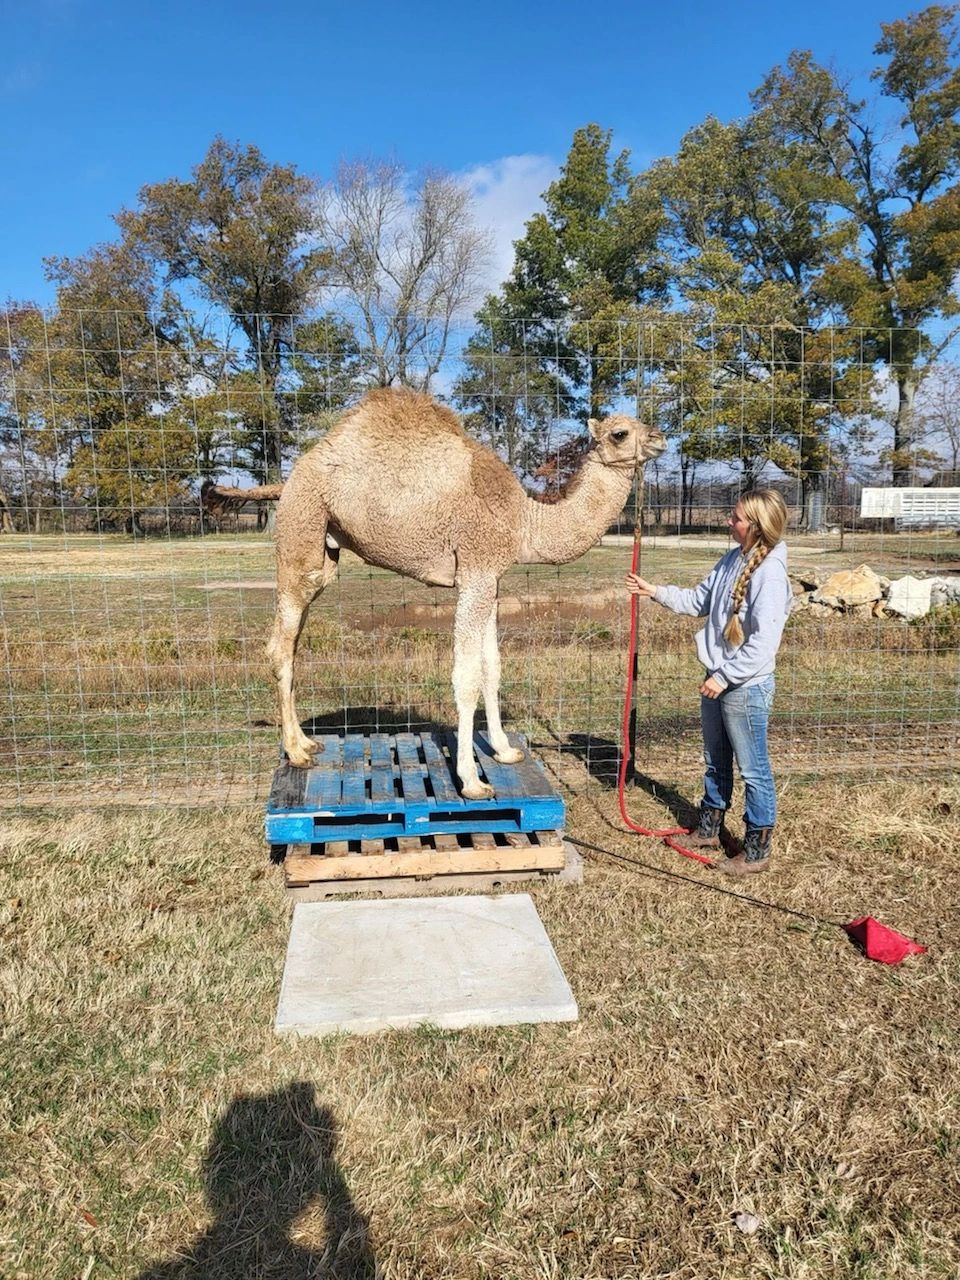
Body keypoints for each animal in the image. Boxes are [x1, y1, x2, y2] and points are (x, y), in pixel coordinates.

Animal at [267, 387, 666, 799]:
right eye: (620, 433)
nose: (659, 437)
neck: (525, 521)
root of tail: (291, 479)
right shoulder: (475, 572)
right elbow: (467, 677)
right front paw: (472, 780)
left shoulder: (490, 581)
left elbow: (493, 669)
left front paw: (505, 751)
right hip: (302, 527)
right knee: (280, 645)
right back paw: (296, 752)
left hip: (325, 547)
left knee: (292, 642)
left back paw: (307, 742)